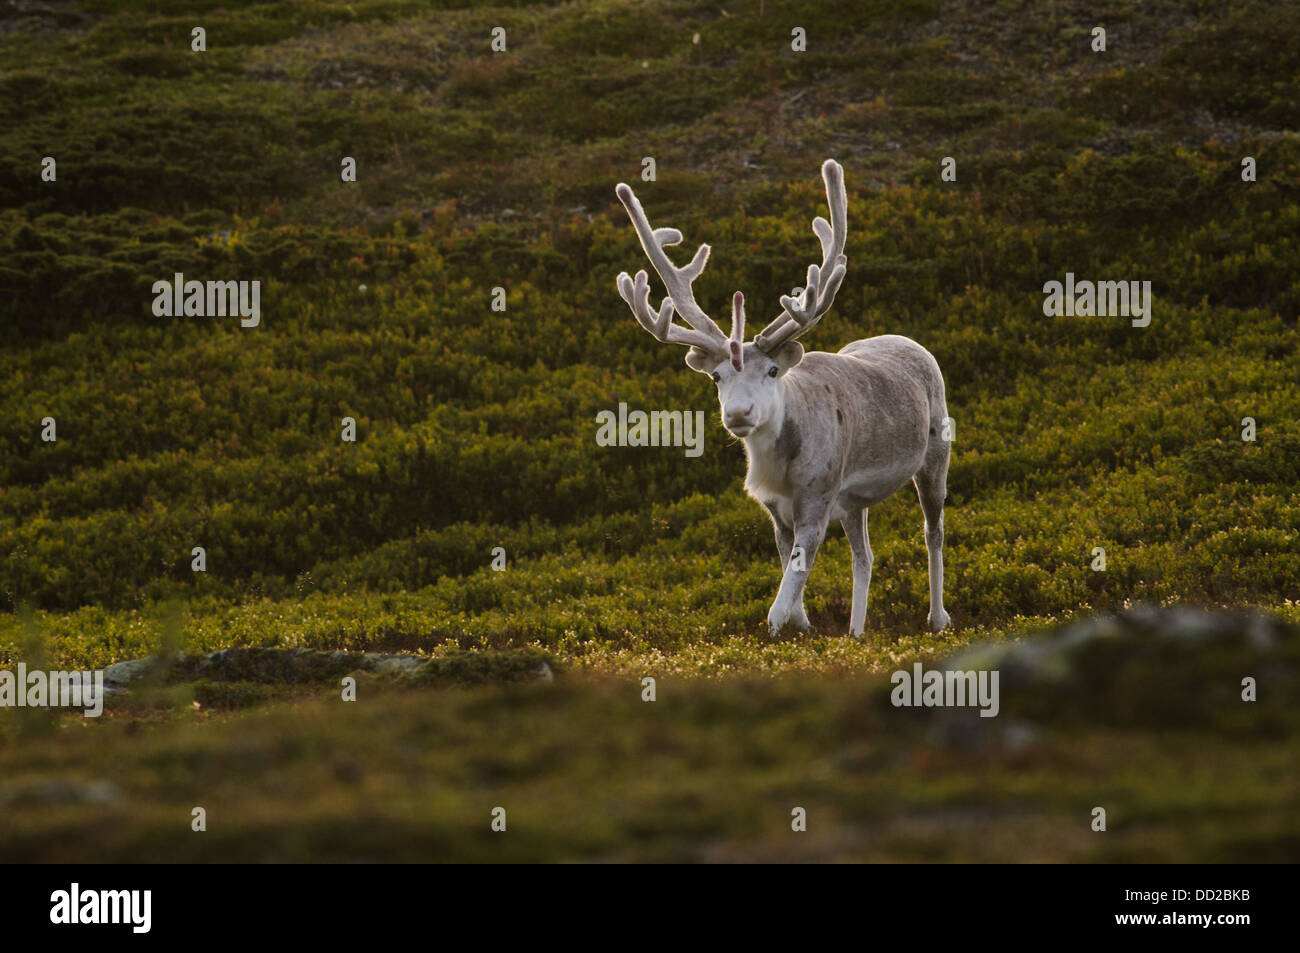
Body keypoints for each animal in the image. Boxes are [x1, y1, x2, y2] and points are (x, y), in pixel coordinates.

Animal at [614, 159, 951, 637]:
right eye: (716, 376)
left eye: (773, 371)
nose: (739, 412)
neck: (779, 465)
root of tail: (911, 341)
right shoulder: (777, 510)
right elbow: (790, 579)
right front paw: (805, 627)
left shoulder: (818, 492)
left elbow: (784, 594)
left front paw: (777, 633)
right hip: (855, 499)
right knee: (864, 554)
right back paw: (856, 632)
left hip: (935, 453)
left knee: (932, 530)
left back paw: (937, 617)